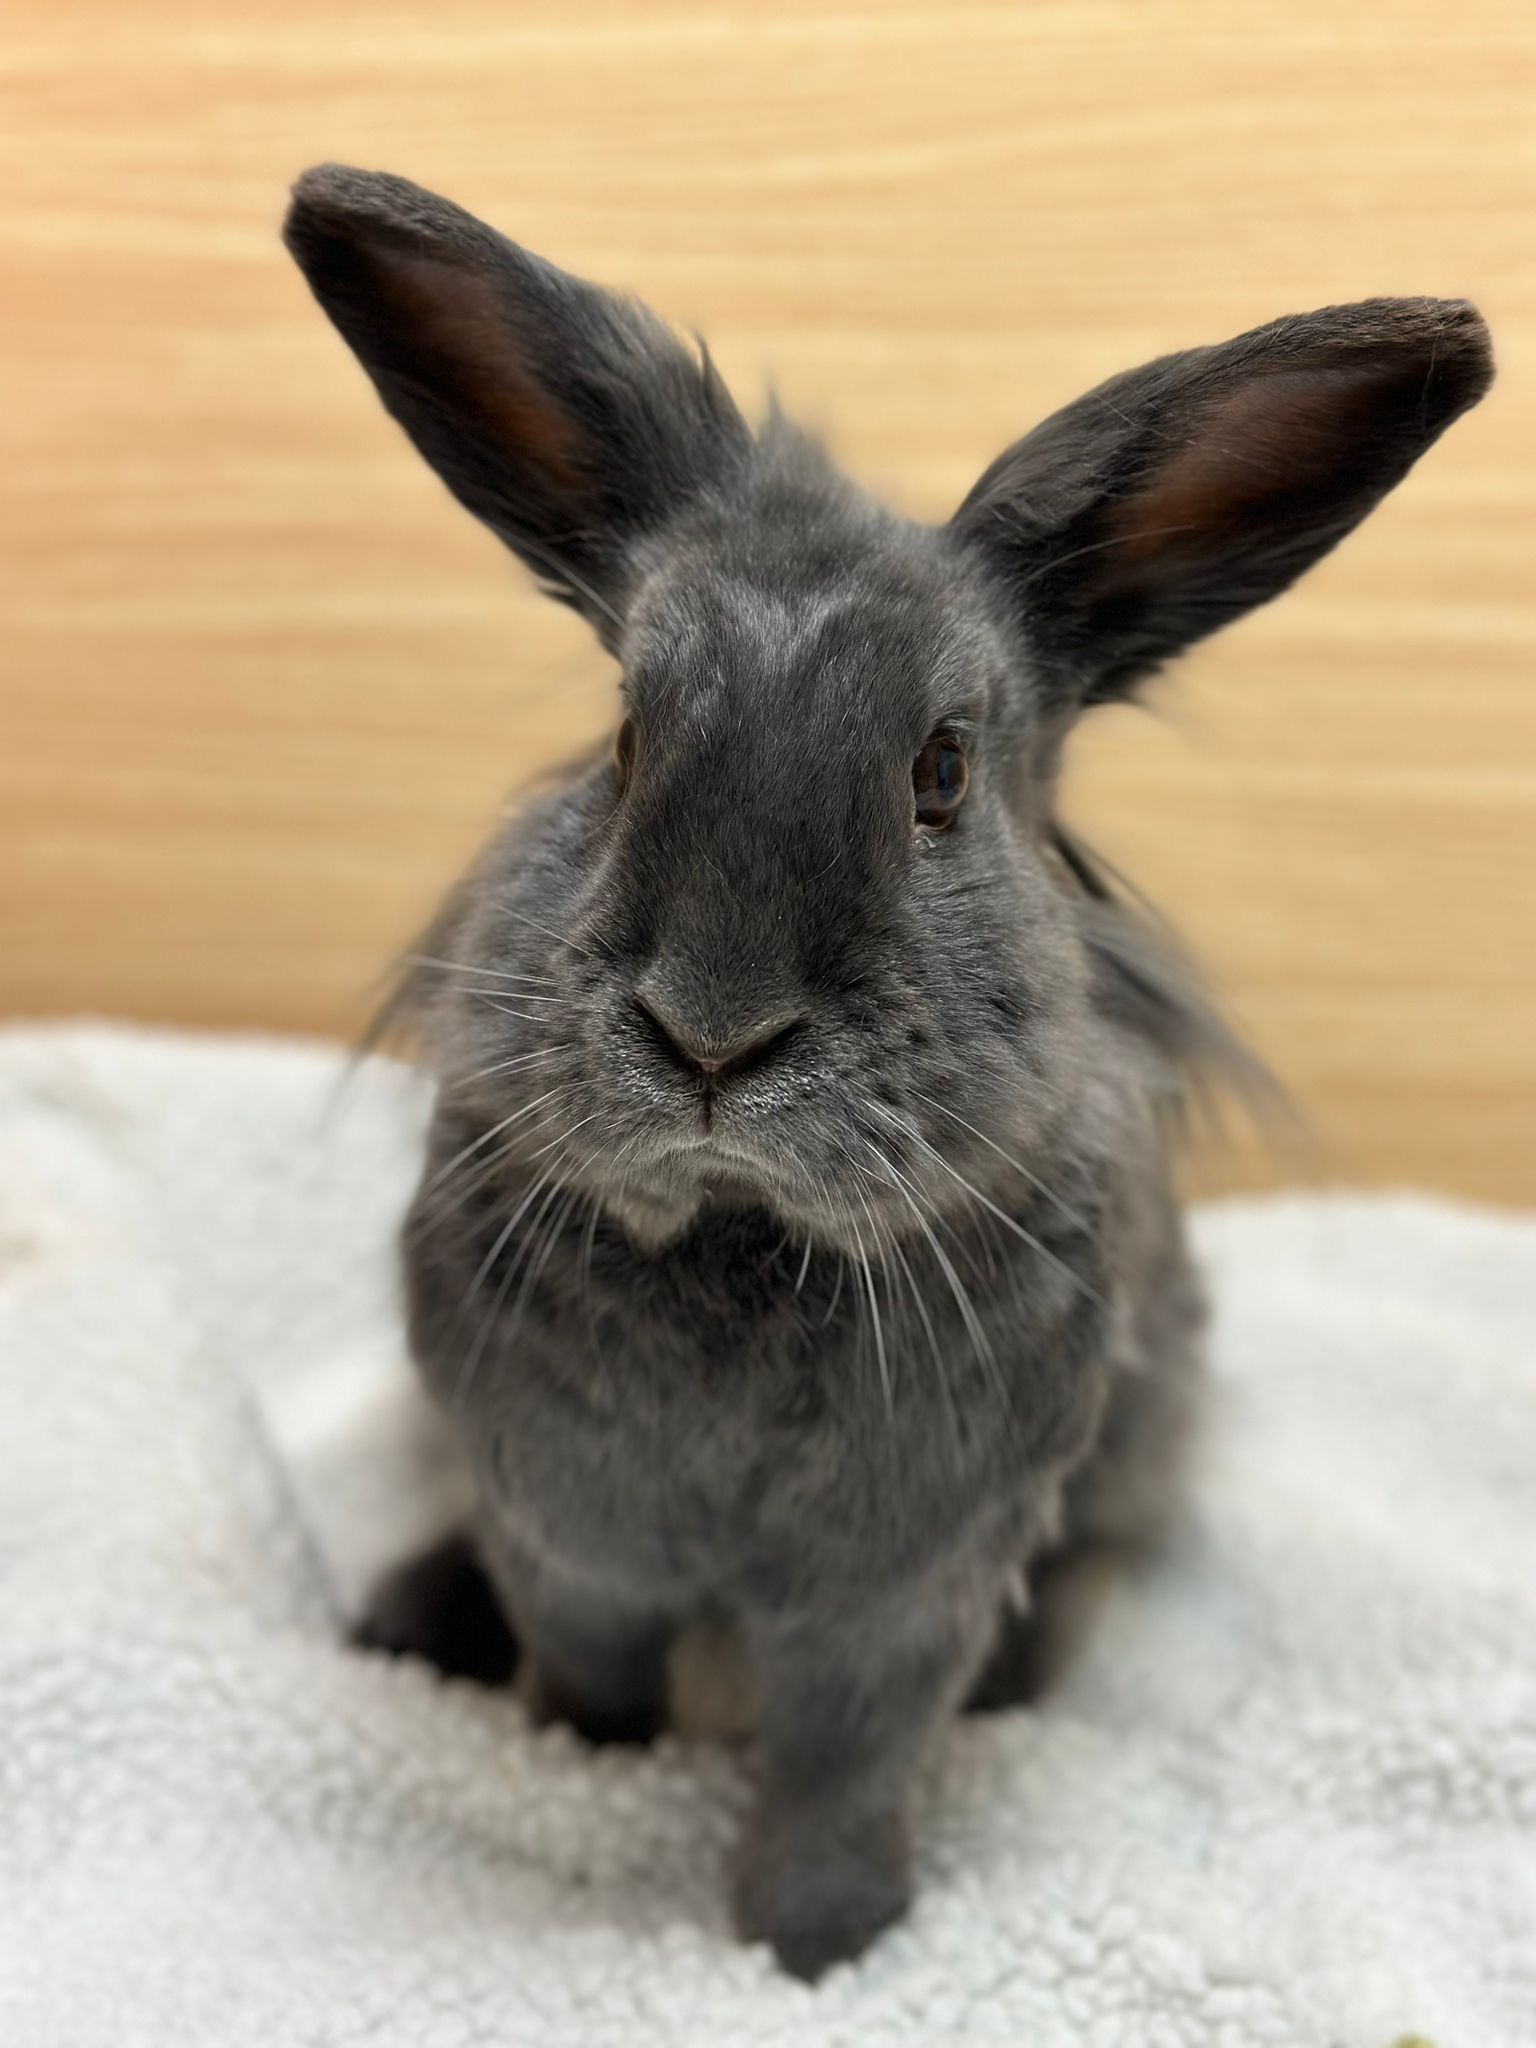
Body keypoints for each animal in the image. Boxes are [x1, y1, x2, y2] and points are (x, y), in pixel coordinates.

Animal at [283, 164, 1492, 1981]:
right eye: (624, 735)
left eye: (941, 772)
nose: (711, 1029)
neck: (737, 1237)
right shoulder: (575, 1544)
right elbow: (594, 1694)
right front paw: (572, 1797)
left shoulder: (899, 1600)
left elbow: (843, 1770)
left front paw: (815, 1950)